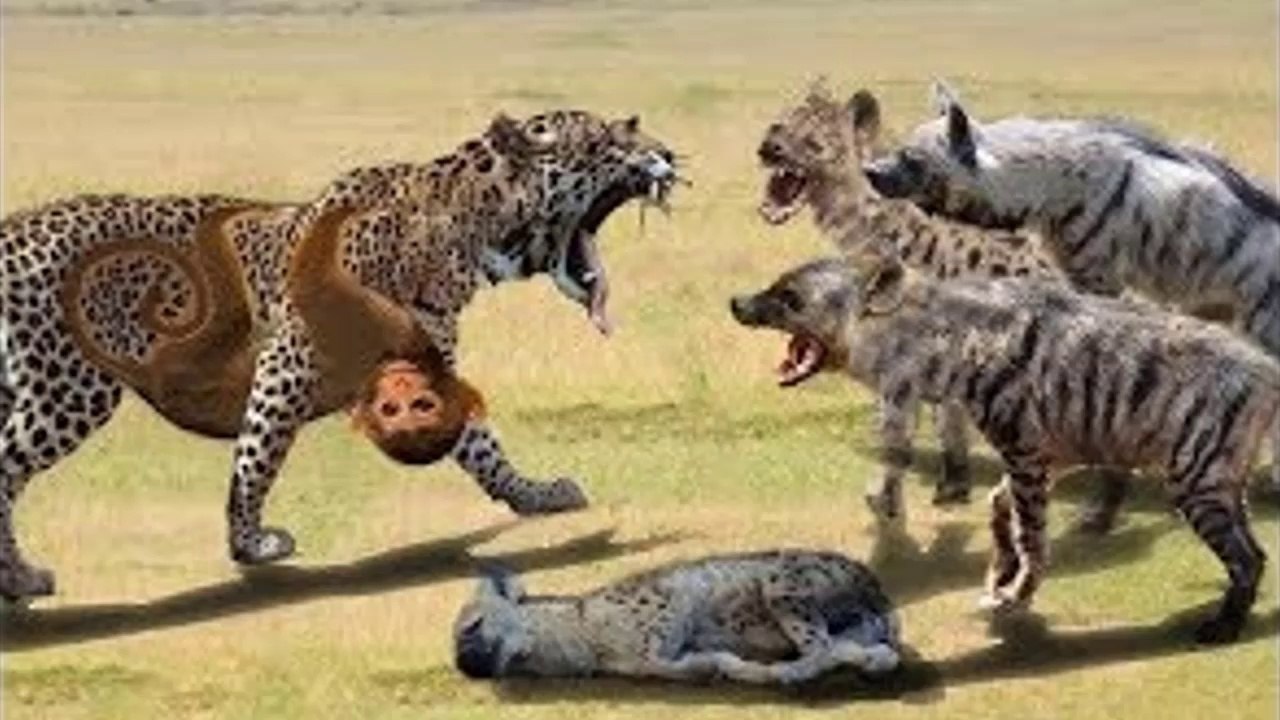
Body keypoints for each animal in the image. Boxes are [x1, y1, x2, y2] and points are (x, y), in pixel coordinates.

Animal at [0, 109, 678, 601]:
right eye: (604, 138)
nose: (668, 155)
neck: (469, 230)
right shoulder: (288, 362)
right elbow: (257, 455)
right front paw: (249, 542)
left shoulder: (424, 370)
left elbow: (483, 445)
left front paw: (534, 494)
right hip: (67, 391)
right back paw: (17, 580)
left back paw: (18, 578)